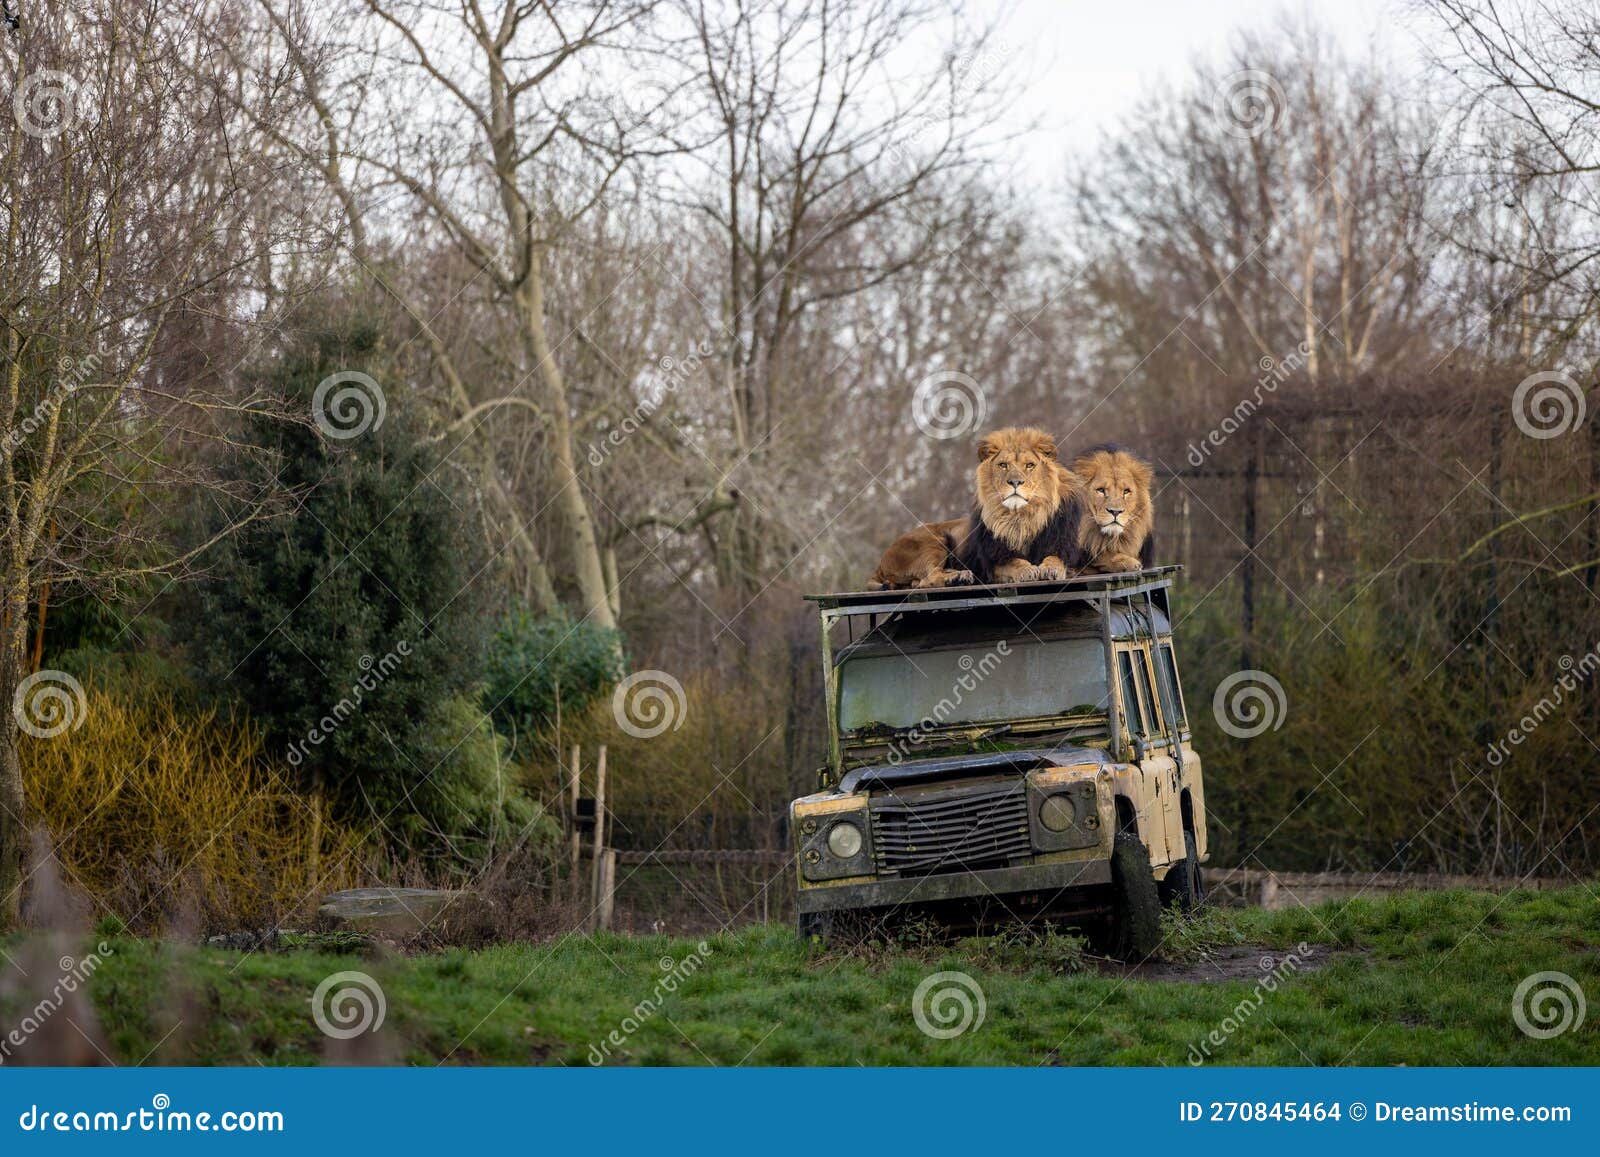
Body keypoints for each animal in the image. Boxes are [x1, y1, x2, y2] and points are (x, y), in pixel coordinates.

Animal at [867, 427, 1087, 589]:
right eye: (1003, 465)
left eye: (1030, 465)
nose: (1015, 482)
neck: (1021, 518)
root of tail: (880, 563)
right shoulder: (993, 563)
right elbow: (1014, 563)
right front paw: (1027, 570)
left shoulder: (1061, 545)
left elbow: (1055, 559)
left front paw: (1050, 569)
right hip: (931, 542)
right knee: (927, 578)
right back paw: (957, 577)